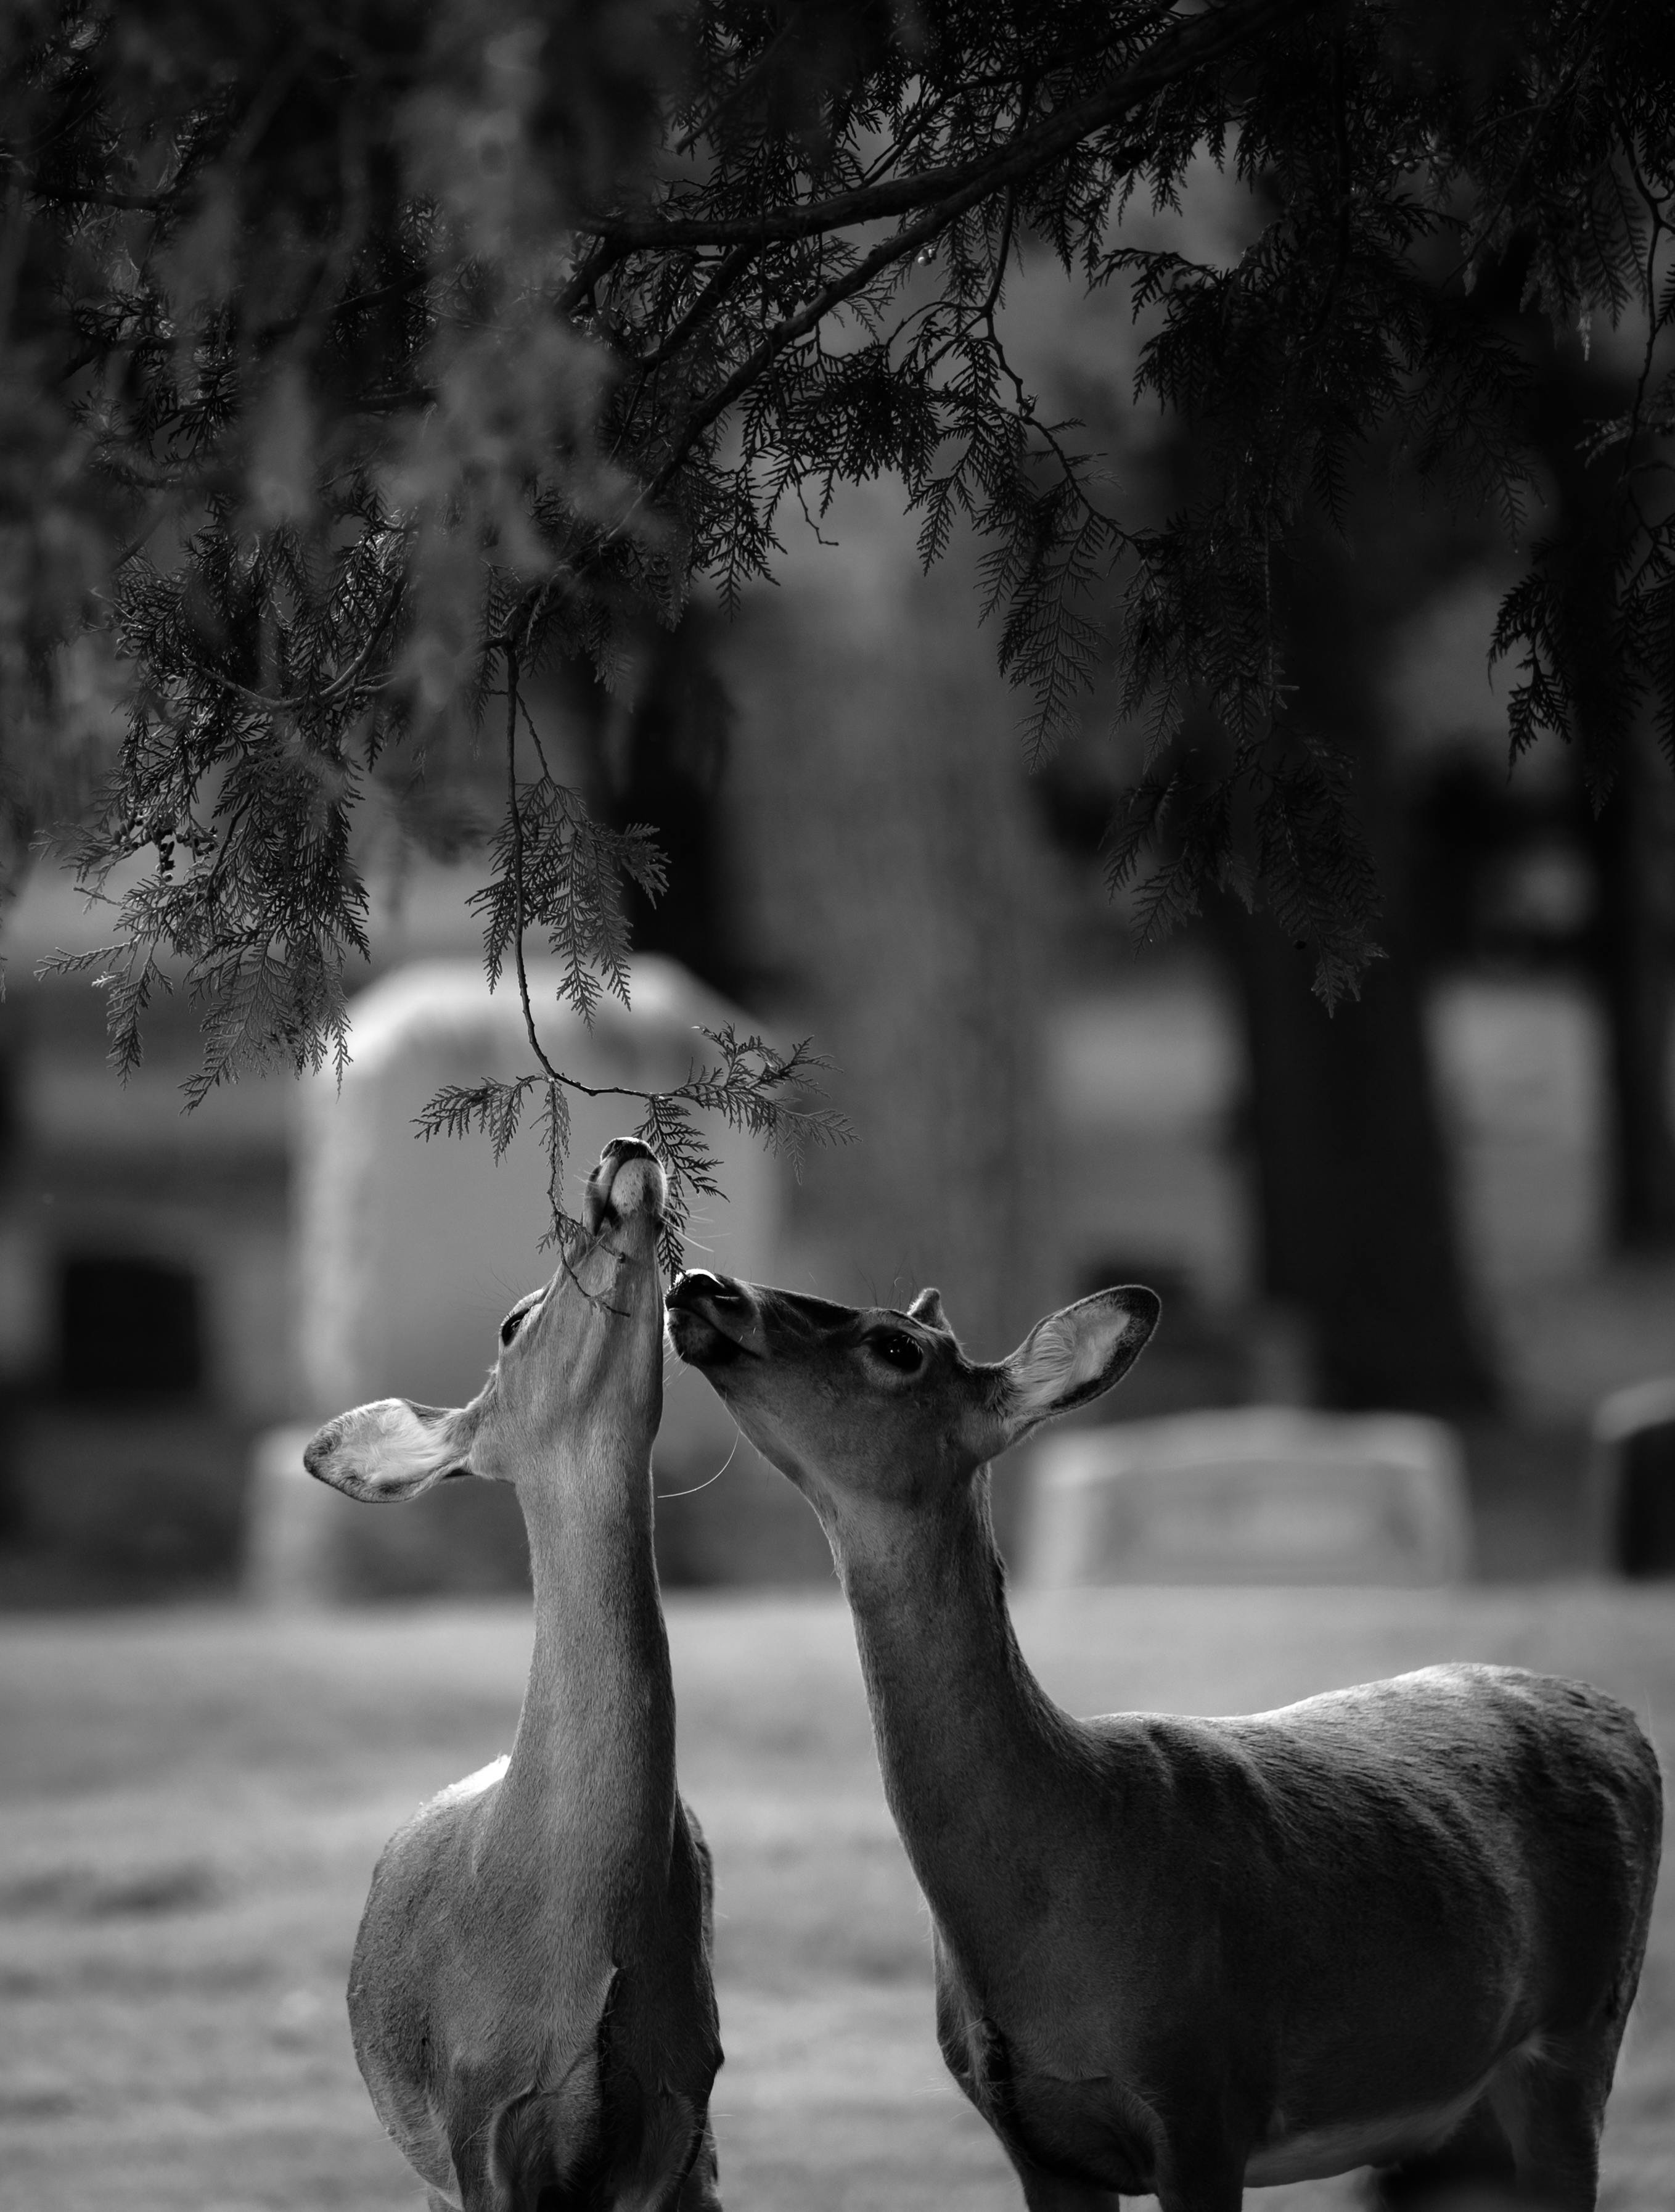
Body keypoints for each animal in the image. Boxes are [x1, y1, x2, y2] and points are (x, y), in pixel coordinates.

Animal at [666, 1267, 1662, 2212]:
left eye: (895, 1346)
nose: (702, 1284)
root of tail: (1628, 1721)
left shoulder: (1203, 2099)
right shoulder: (1036, 2142)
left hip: (1581, 2030)